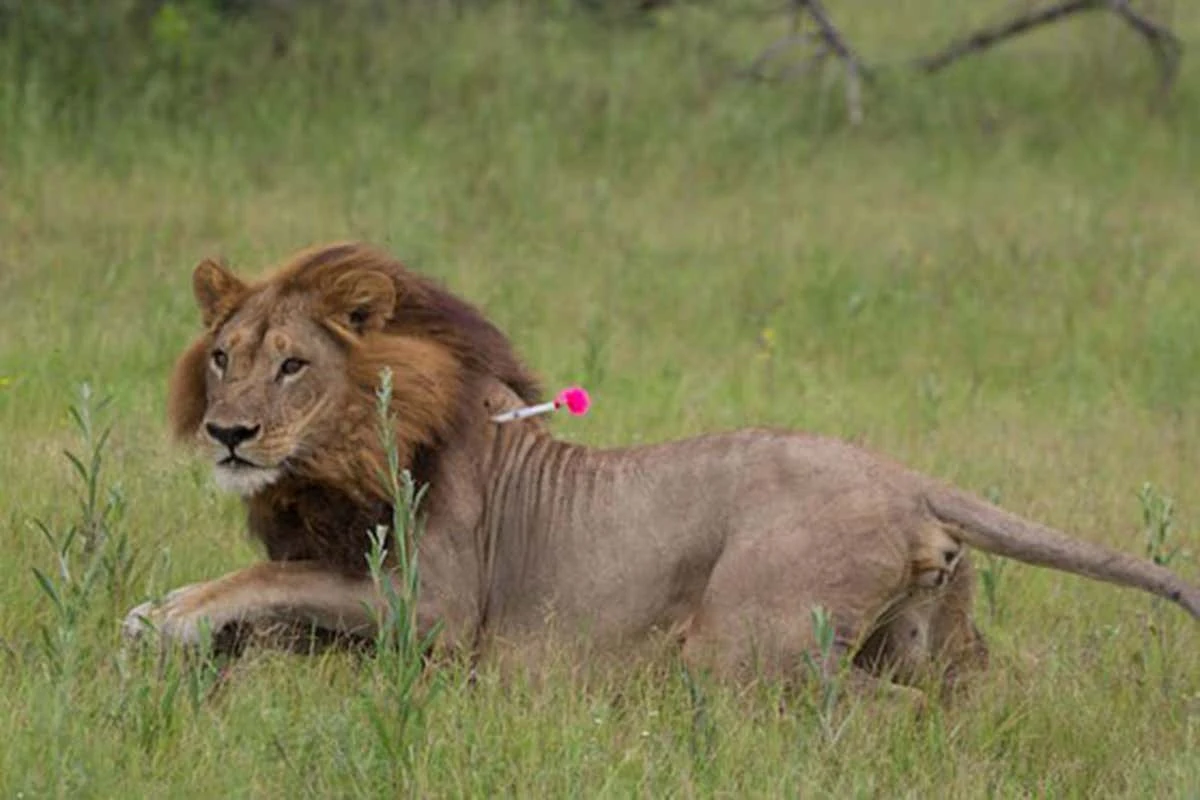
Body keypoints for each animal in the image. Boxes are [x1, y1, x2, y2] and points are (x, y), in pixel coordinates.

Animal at [123, 242, 1200, 698]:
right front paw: (184, 633)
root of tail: (905, 475)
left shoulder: (437, 607)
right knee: (969, 700)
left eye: (292, 365)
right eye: (223, 356)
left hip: (743, 646)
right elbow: (275, 602)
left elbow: (268, 575)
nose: (227, 433)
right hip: (934, 640)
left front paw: (163, 617)